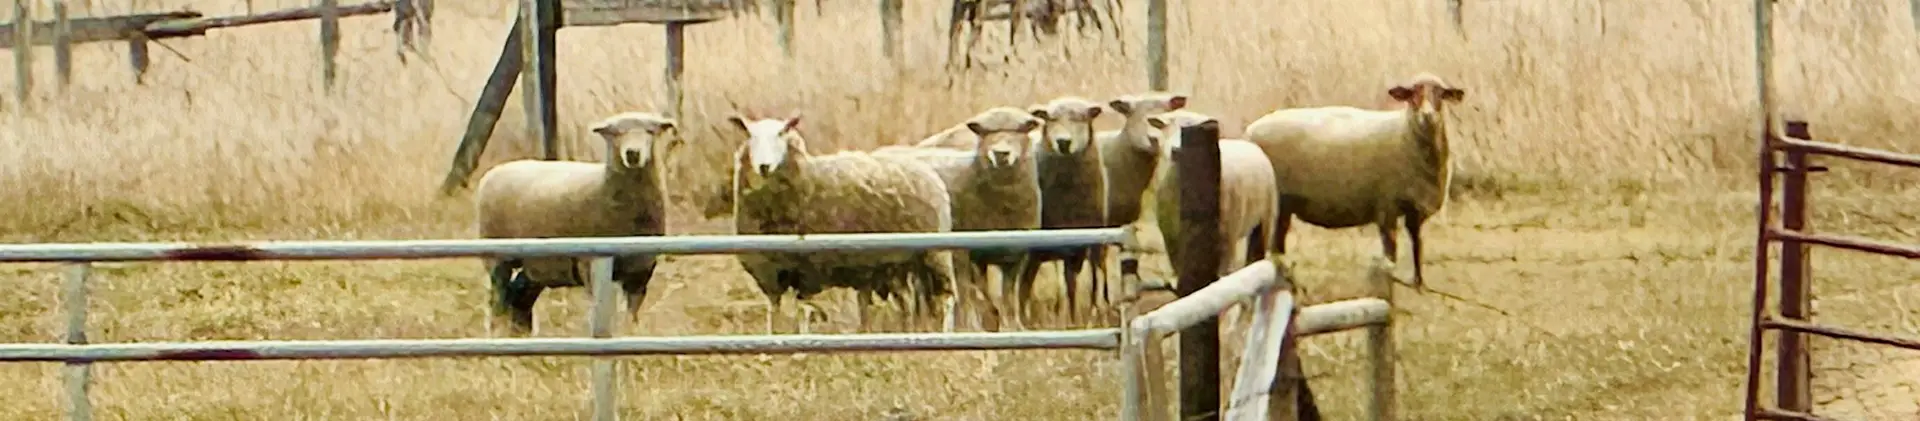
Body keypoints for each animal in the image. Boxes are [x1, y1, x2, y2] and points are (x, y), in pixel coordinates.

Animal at [472, 111, 683, 337]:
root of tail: (493, 172)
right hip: (497, 256)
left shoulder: (642, 267)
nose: (632, 154)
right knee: (499, 299)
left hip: (537, 265)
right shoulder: (589, 263)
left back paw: (520, 333)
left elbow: (633, 312)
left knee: (520, 297)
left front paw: (632, 332)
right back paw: (498, 332)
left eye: (650, 131)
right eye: (616, 133)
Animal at [728, 113, 963, 334]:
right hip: (897, 264)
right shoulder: (769, 271)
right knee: (906, 300)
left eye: (782, 133)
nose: (764, 166)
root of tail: (929, 173)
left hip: (934, 253)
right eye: (751, 135)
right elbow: (776, 311)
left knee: (946, 299)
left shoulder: (807, 269)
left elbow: (803, 311)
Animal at [874, 106, 1046, 331]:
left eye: (1021, 129)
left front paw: (1012, 326)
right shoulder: (961, 251)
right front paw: (973, 327)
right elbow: (966, 291)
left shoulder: (1016, 254)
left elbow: (1008, 294)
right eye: (984, 132)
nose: (1000, 153)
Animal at [1008, 96, 1109, 329]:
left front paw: (1074, 320)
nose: (1063, 142)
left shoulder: (1079, 247)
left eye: (1081, 118)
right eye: (1051, 119)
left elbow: (1073, 286)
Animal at [1241, 73, 1467, 288]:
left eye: (1440, 94)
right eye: (1412, 95)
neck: (1406, 135)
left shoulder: (1414, 209)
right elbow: (1391, 252)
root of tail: (1250, 133)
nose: (1427, 116)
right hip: (1275, 205)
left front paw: (1419, 283)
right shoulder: (1387, 207)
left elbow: (1417, 246)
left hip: (1278, 208)